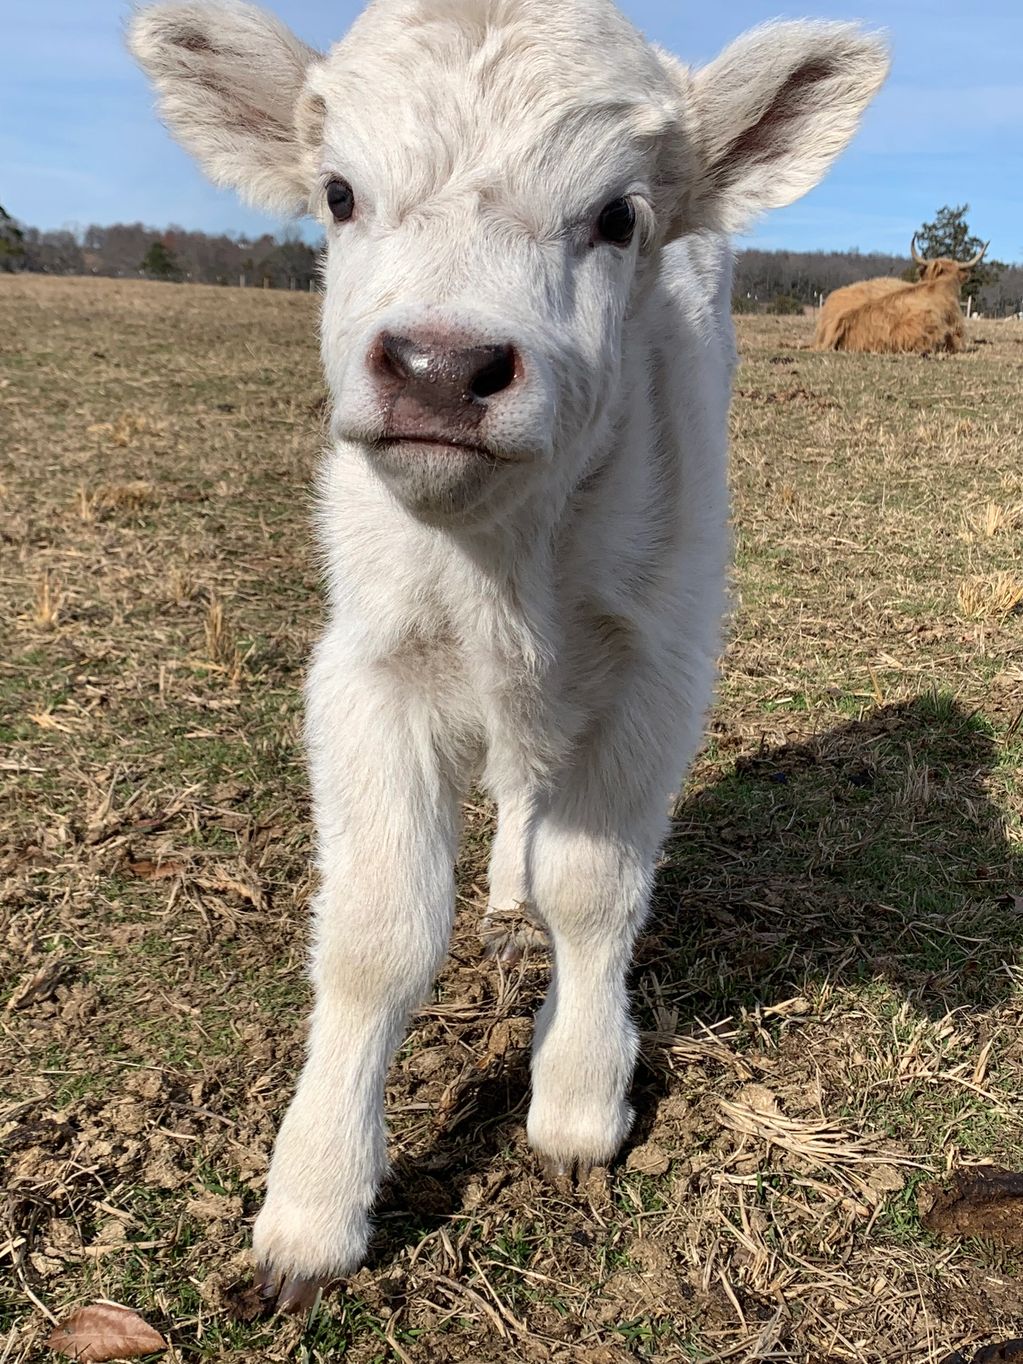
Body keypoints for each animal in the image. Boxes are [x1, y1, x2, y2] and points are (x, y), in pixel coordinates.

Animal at [129, 0, 887, 1312]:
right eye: (338, 193)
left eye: (618, 217)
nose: (440, 366)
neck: (502, 562)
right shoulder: (366, 671)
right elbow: (377, 934)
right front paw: (313, 1203)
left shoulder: (659, 668)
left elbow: (595, 886)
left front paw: (578, 1096)